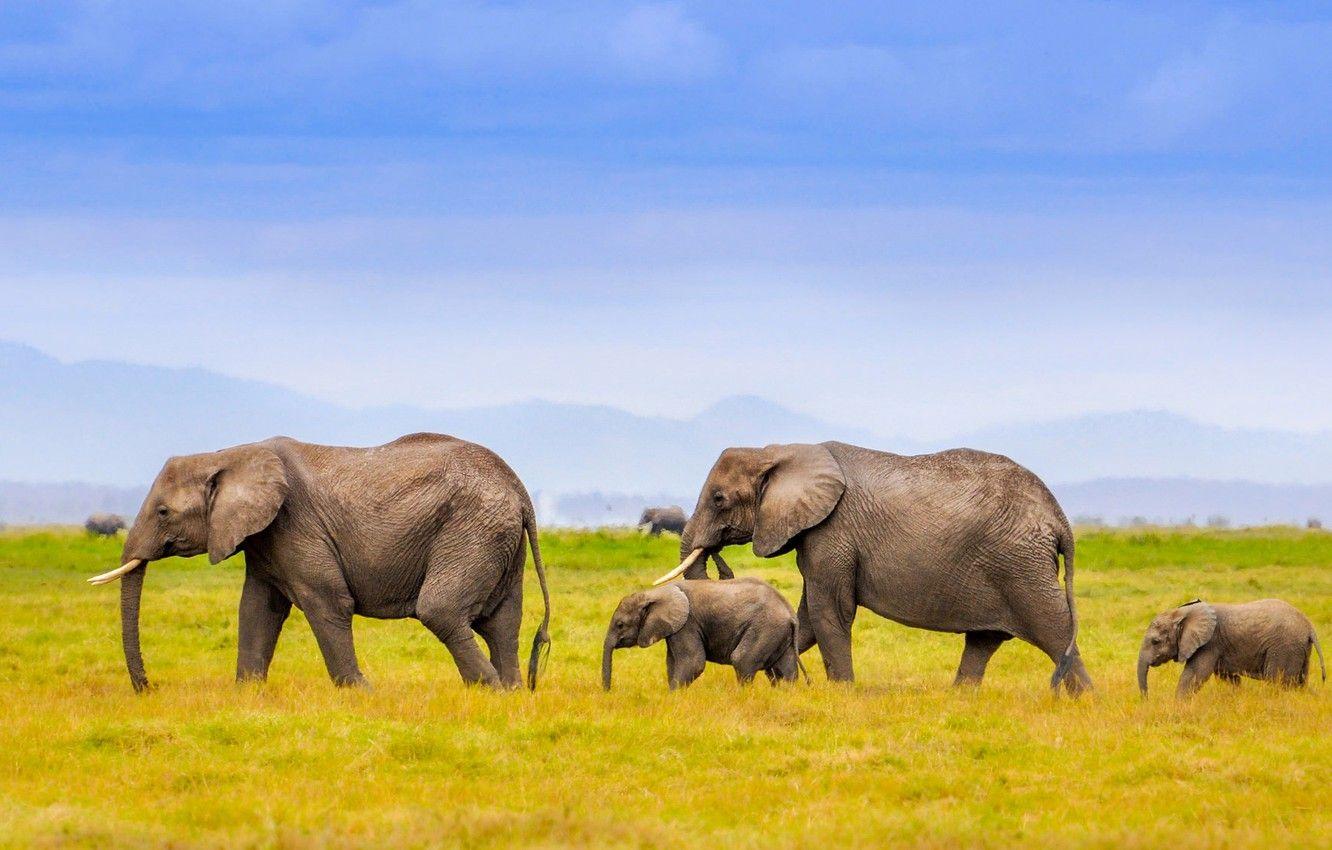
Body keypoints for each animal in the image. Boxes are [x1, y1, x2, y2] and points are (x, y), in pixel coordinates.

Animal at [87, 433, 551, 692]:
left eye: (164, 512)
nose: (148, 688)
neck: (229, 455)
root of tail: (519, 490)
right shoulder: (266, 538)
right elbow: (257, 609)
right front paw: (247, 694)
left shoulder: (296, 525)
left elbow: (327, 603)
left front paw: (361, 694)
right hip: (497, 538)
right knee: (501, 622)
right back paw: (510, 692)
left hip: (471, 529)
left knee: (442, 610)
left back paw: (490, 690)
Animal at [602, 578, 806, 690]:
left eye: (620, 625)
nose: (608, 692)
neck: (654, 592)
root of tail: (791, 614)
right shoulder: (675, 628)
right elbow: (672, 663)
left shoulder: (687, 624)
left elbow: (693, 662)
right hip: (778, 632)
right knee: (785, 669)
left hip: (765, 627)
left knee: (742, 660)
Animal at [655, 442, 1092, 694]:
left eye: (719, 498)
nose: (719, 562)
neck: (778, 451)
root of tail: (1059, 519)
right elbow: (806, 618)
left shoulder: (832, 532)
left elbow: (828, 611)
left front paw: (841, 693)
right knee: (984, 641)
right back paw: (959, 698)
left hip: (1021, 566)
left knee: (1054, 629)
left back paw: (1085, 700)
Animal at [1138, 599, 1325, 698]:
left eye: (1155, 641)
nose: (1147, 700)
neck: (1184, 612)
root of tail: (1310, 627)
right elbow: (1228, 678)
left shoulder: (1210, 643)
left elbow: (1195, 674)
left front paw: (1177, 706)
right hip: (1298, 649)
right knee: (1299, 682)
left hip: (1284, 647)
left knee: (1278, 682)